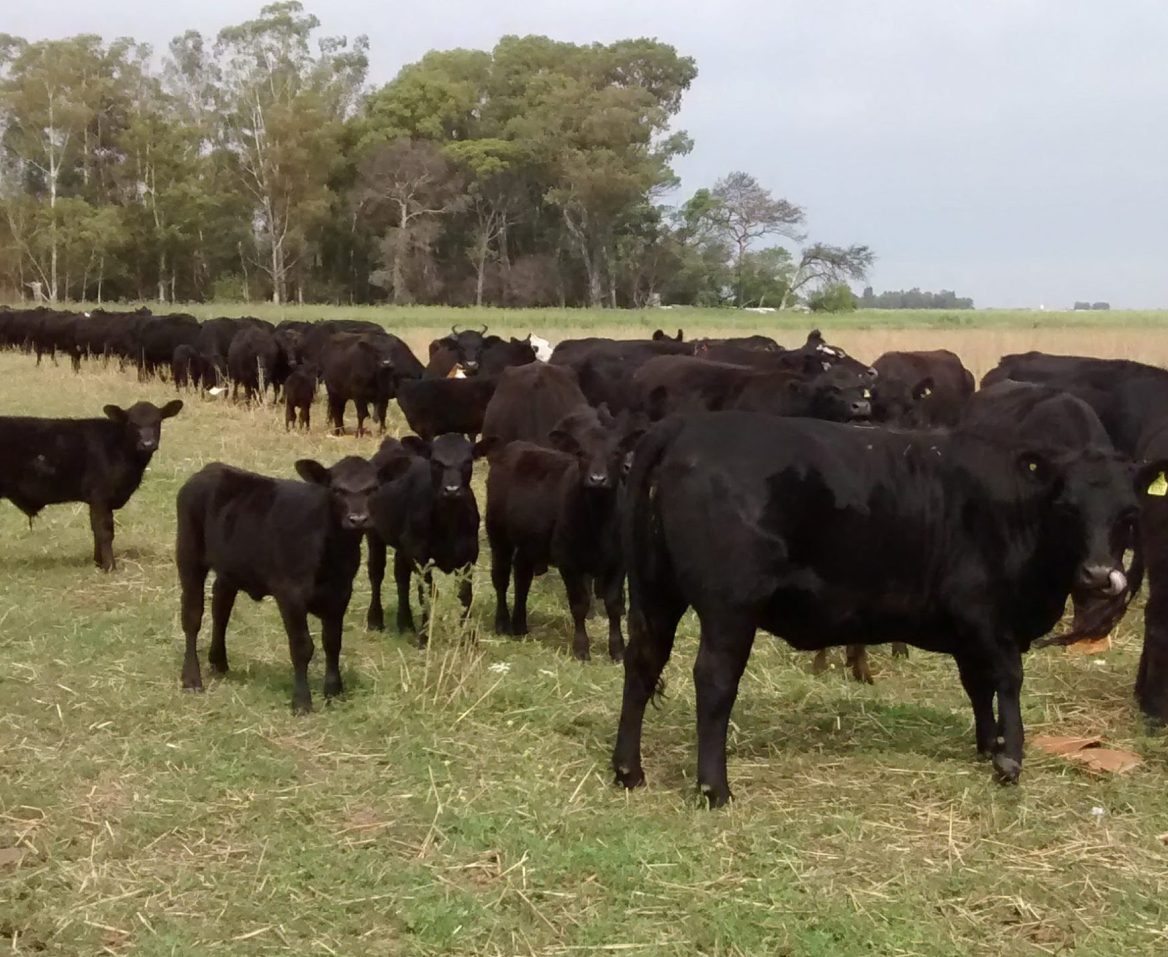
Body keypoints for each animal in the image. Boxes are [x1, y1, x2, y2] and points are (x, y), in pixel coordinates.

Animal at [0, 400, 183, 570]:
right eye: (132, 423)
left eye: (157, 421)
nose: (147, 443)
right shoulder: (100, 496)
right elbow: (104, 531)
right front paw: (110, 566)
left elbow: (95, 529)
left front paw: (98, 562)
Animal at [176, 455, 387, 713]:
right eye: (336, 490)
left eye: (373, 488)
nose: (358, 519)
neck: (331, 549)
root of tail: (210, 469)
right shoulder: (290, 594)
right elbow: (302, 646)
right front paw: (302, 701)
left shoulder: (341, 593)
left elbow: (332, 642)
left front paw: (334, 691)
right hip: (188, 555)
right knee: (192, 615)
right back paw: (192, 679)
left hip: (230, 567)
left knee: (221, 607)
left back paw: (219, 662)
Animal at [365, 434, 486, 641]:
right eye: (436, 462)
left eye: (468, 461)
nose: (452, 489)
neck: (449, 523)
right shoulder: (420, 556)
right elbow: (427, 594)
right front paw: (424, 638)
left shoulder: (469, 556)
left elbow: (464, 596)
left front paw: (469, 639)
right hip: (374, 534)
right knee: (376, 572)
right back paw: (375, 620)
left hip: (402, 546)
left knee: (401, 576)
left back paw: (405, 623)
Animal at [486, 405, 646, 661]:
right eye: (581, 453)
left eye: (617, 452)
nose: (597, 479)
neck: (598, 522)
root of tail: (515, 447)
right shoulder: (568, 561)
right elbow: (579, 604)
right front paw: (581, 648)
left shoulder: (618, 563)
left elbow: (614, 605)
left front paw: (617, 649)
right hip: (498, 535)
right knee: (501, 577)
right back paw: (502, 623)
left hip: (530, 543)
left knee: (522, 576)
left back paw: (520, 624)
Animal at [614, 408, 1150, 806]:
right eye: (1067, 508)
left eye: (1128, 515)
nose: (1098, 575)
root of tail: (685, 425)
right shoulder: (985, 617)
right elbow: (1007, 681)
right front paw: (1009, 758)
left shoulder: (969, 633)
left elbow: (978, 686)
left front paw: (988, 745)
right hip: (730, 610)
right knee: (714, 681)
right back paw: (714, 788)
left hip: (655, 594)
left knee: (642, 665)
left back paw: (628, 770)